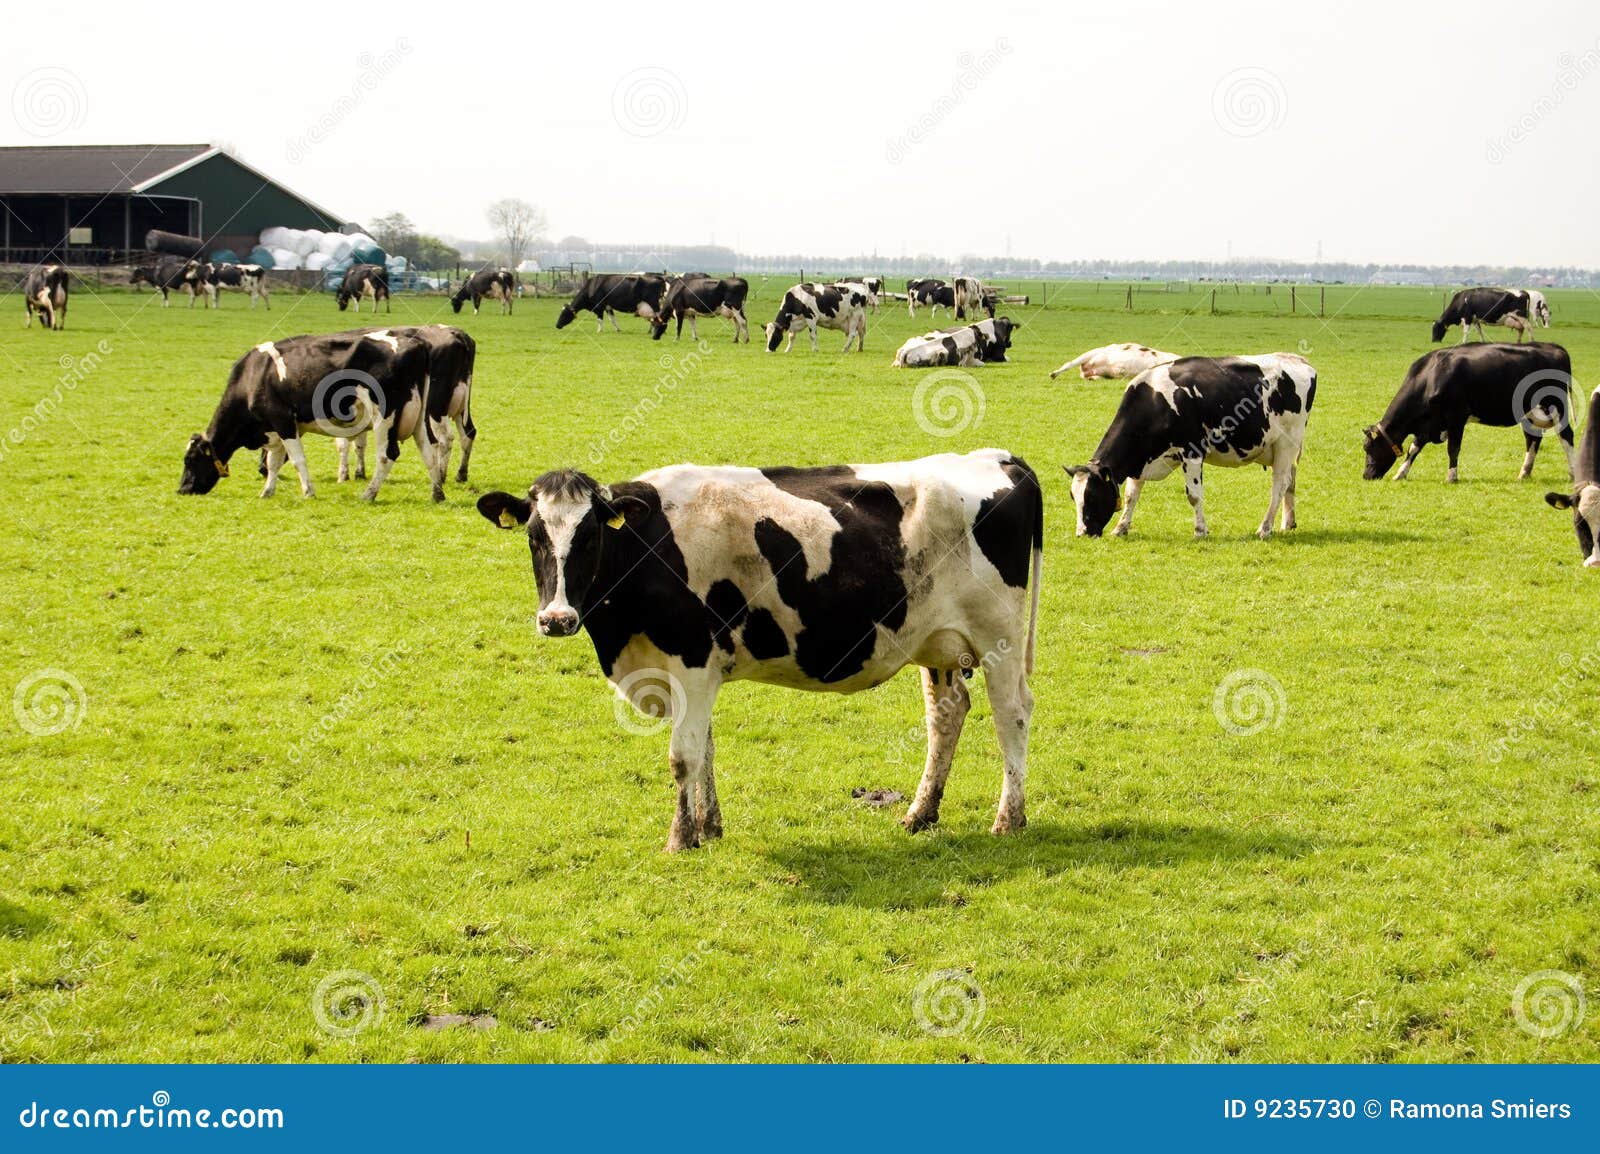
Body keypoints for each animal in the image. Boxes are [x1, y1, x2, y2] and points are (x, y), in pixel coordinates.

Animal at [179, 328, 431, 502]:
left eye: (190, 460)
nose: (182, 489)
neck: (253, 376)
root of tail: (414, 342)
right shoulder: (274, 428)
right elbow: (273, 462)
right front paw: (267, 491)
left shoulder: (283, 421)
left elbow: (297, 460)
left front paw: (308, 491)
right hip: (421, 419)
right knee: (429, 450)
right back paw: (436, 493)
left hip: (384, 418)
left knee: (387, 455)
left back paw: (369, 494)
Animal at [475, 447, 1043, 850]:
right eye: (534, 537)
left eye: (590, 536)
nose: (556, 619)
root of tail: (998, 458)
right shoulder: (695, 673)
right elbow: (704, 748)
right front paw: (709, 828)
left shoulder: (692, 663)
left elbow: (682, 756)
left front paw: (680, 839)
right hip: (938, 643)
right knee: (946, 715)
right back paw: (920, 814)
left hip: (999, 638)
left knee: (1011, 713)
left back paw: (1008, 819)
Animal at [1066, 353, 1318, 539]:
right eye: (1073, 497)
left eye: (1092, 496)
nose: (1082, 533)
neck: (1155, 401)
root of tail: (1299, 361)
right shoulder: (1141, 459)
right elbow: (1131, 495)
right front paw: (1121, 527)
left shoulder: (1191, 452)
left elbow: (1194, 495)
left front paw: (1200, 531)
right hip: (1285, 450)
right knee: (1290, 483)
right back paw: (1287, 523)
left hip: (1286, 443)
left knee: (1279, 485)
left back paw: (1265, 528)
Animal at [1363, 342, 1575, 484]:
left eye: (1368, 448)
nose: (1366, 475)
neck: (1430, 377)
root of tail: (1555, 347)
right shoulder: (1429, 423)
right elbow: (1413, 448)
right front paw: (1401, 473)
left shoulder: (1456, 417)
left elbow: (1453, 448)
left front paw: (1451, 476)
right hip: (1529, 413)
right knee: (1533, 439)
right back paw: (1524, 473)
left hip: (1556, 406)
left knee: (1566, 436)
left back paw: (1573, 473)